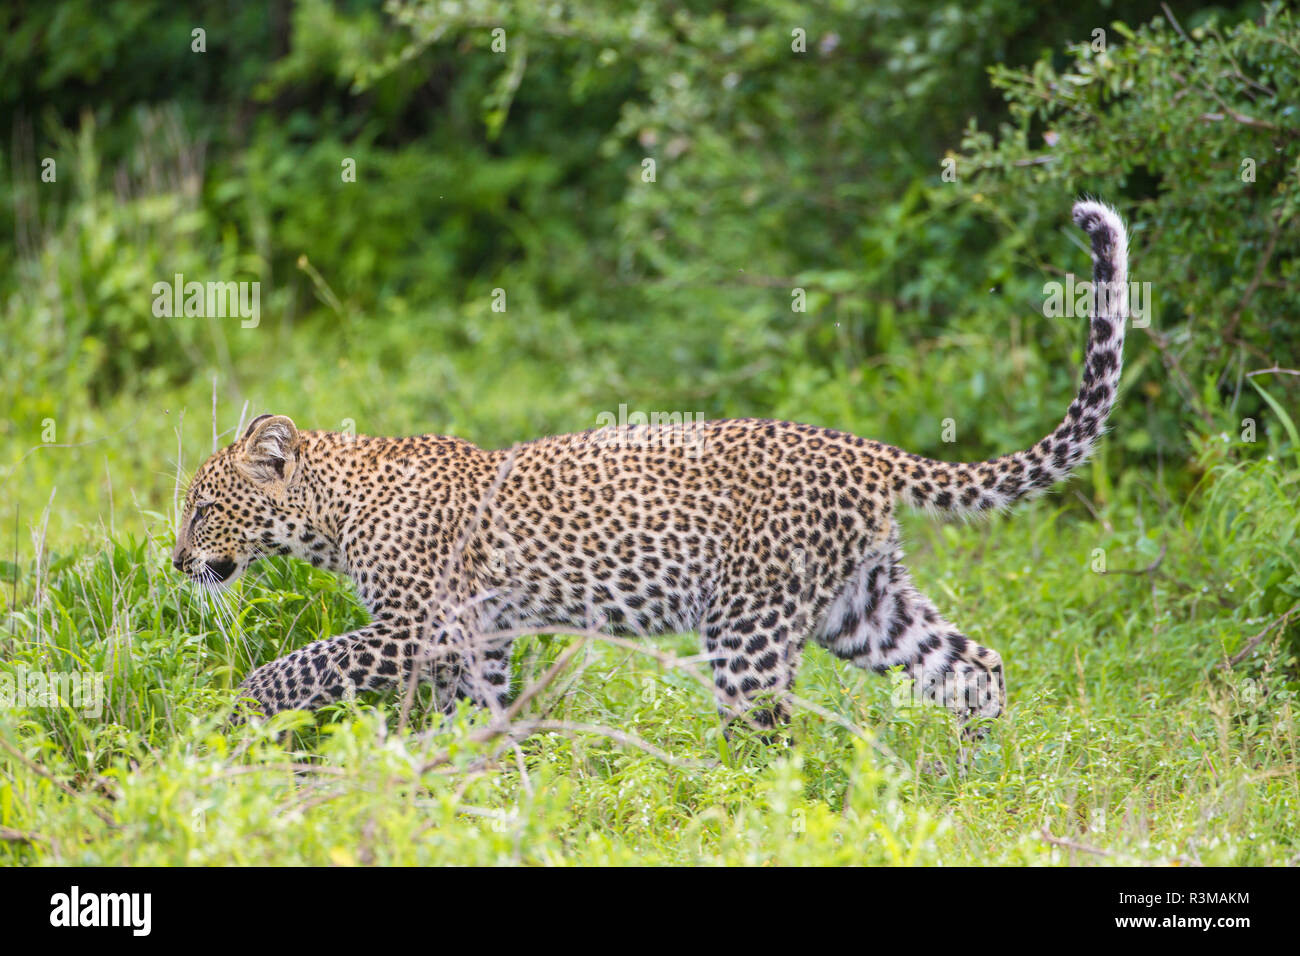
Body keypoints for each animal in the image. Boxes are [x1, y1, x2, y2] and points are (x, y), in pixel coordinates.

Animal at [173, 200, 1129, 737]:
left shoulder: (423, 623)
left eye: (203, 510)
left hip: (748, 627)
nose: (177, 562)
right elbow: (475, 716)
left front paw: (237, 712)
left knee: (767, 739)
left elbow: (298, 666)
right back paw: (978, 778)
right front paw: (473, 785)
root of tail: (863, 448)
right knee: (975, 668)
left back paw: (733, 810)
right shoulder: (480, 640)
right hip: (862, 607)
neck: (333, 509)